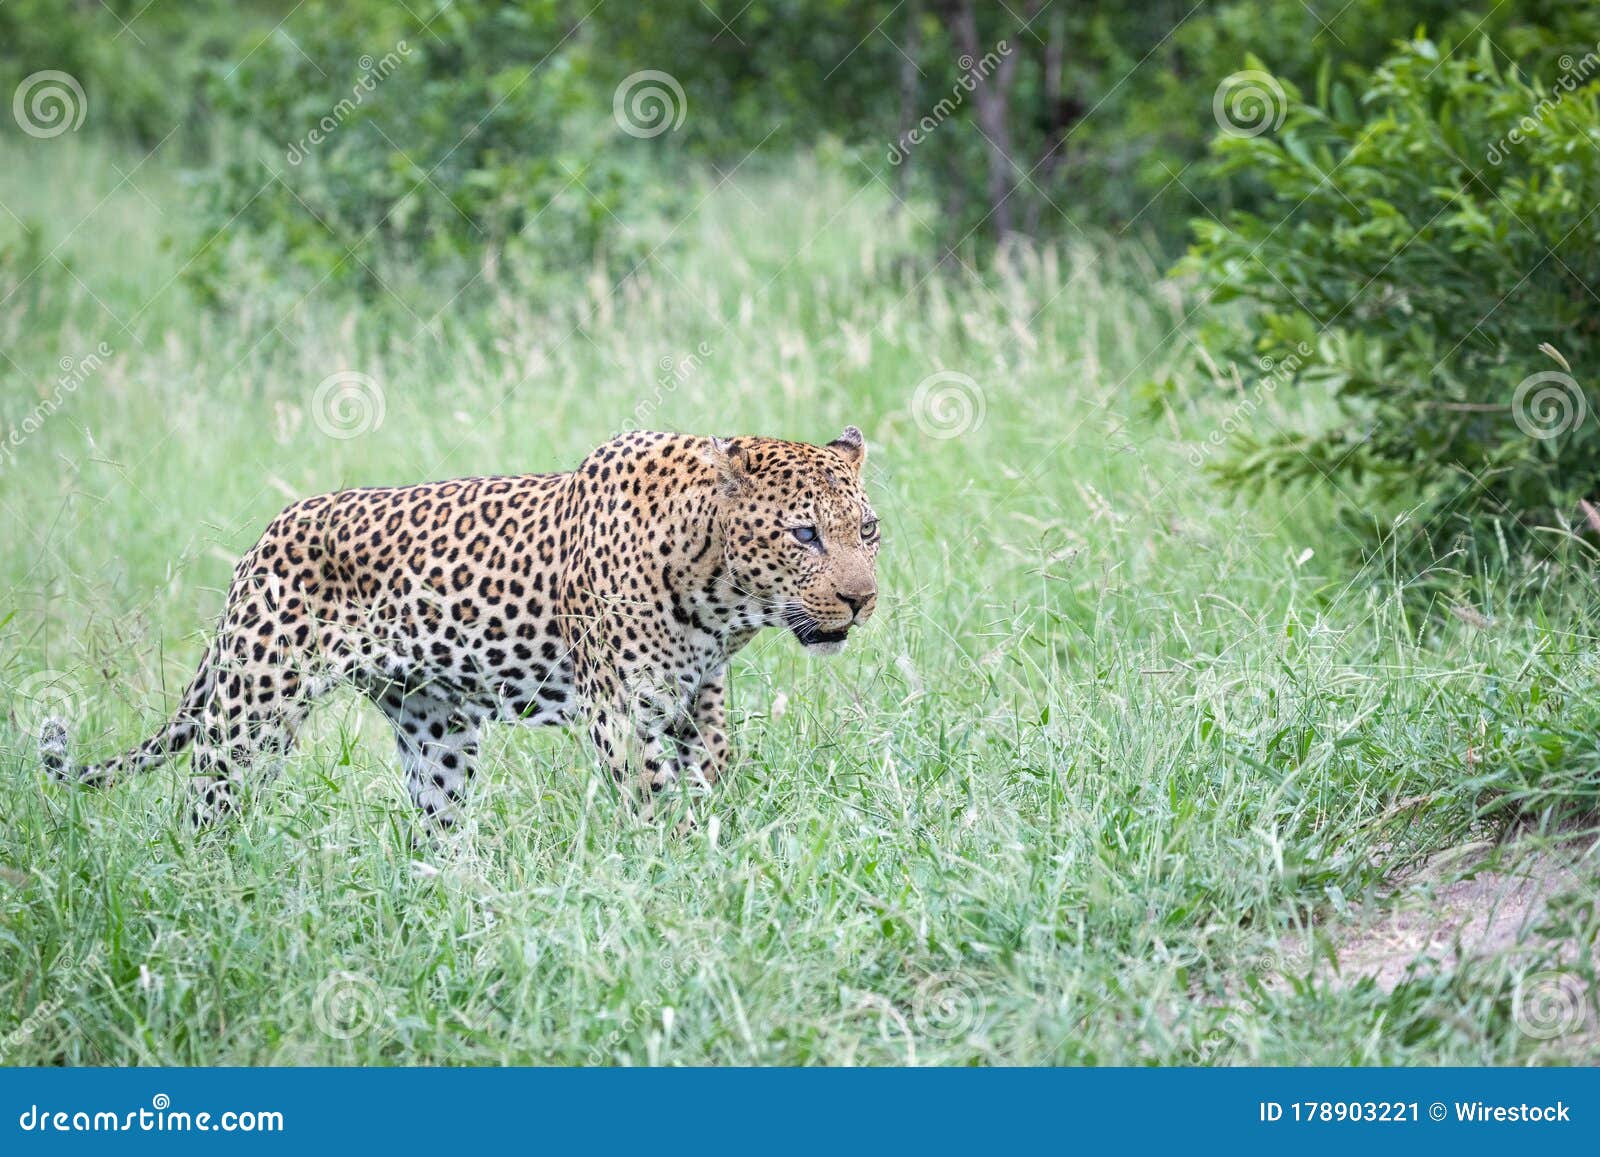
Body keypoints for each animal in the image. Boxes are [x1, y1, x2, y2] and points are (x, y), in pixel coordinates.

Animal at [39, 427, 880, 829]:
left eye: (867, 530)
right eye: (804, 534)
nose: (862, 599)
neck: (715, 586)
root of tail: (263, 538)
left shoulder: (699, 700)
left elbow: (710, 778)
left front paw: (712, 846)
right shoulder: (621, 712)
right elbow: (653, 800)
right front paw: (670, 869)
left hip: (434, 726)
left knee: (436, 827)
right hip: (251, 714)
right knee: (201, 809)